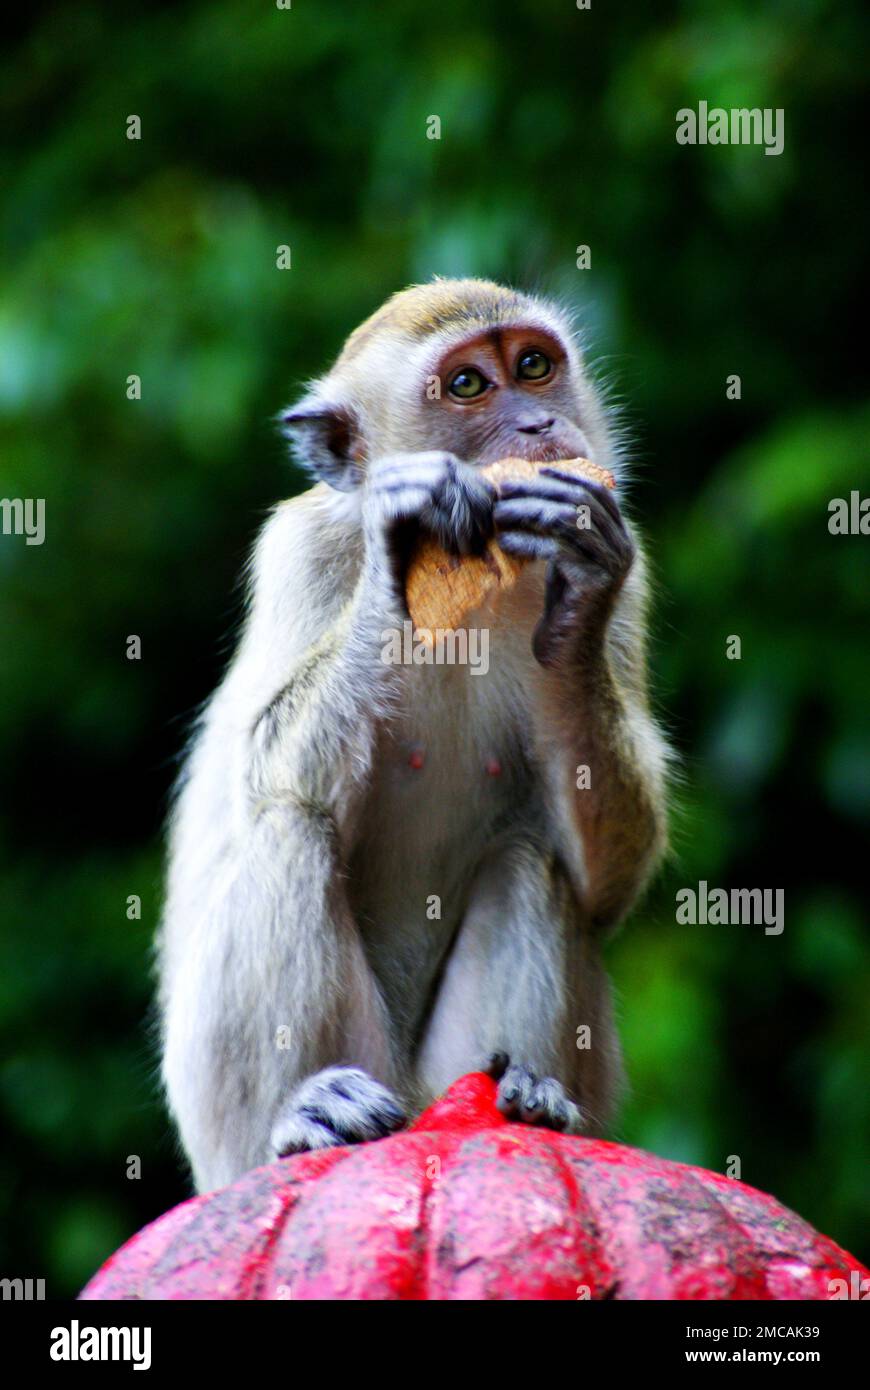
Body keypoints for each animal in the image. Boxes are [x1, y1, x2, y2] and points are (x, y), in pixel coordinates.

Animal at [158, 278, 670, 1193]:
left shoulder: (634, 562)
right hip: (238, 1123)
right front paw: (401, 544)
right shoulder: (301, 552)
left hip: (441, 1077)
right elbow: (266, 765)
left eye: (533, 366)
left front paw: (577, 589)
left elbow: (608, 879)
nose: (540, 424)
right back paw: (303, 1117)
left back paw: (525, 1098)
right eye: (468, 385)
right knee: (289, 826)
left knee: (531, 863)